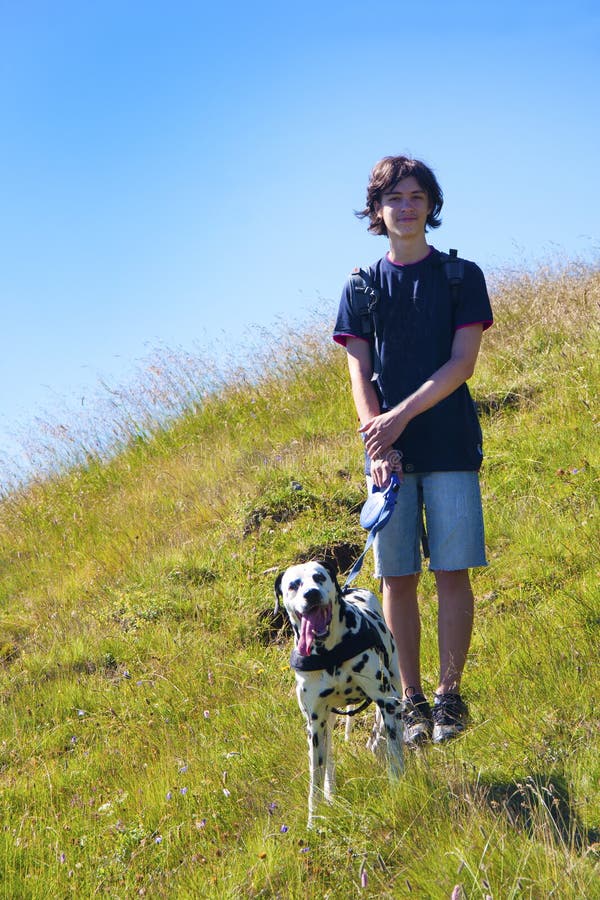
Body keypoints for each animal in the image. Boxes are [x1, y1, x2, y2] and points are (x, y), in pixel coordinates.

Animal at [276, 560, 406, 828]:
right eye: (294, 585)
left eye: (319, 577)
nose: (311, 594)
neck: (329, 652)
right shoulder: (315, 724)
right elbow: (315, 777)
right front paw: (313, 821)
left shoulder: (387, 700)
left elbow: (394, 751)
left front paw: (398, 786)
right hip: (324, 723)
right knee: (328, 756)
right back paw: (330, 793)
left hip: (394, 683)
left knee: (383, 723)